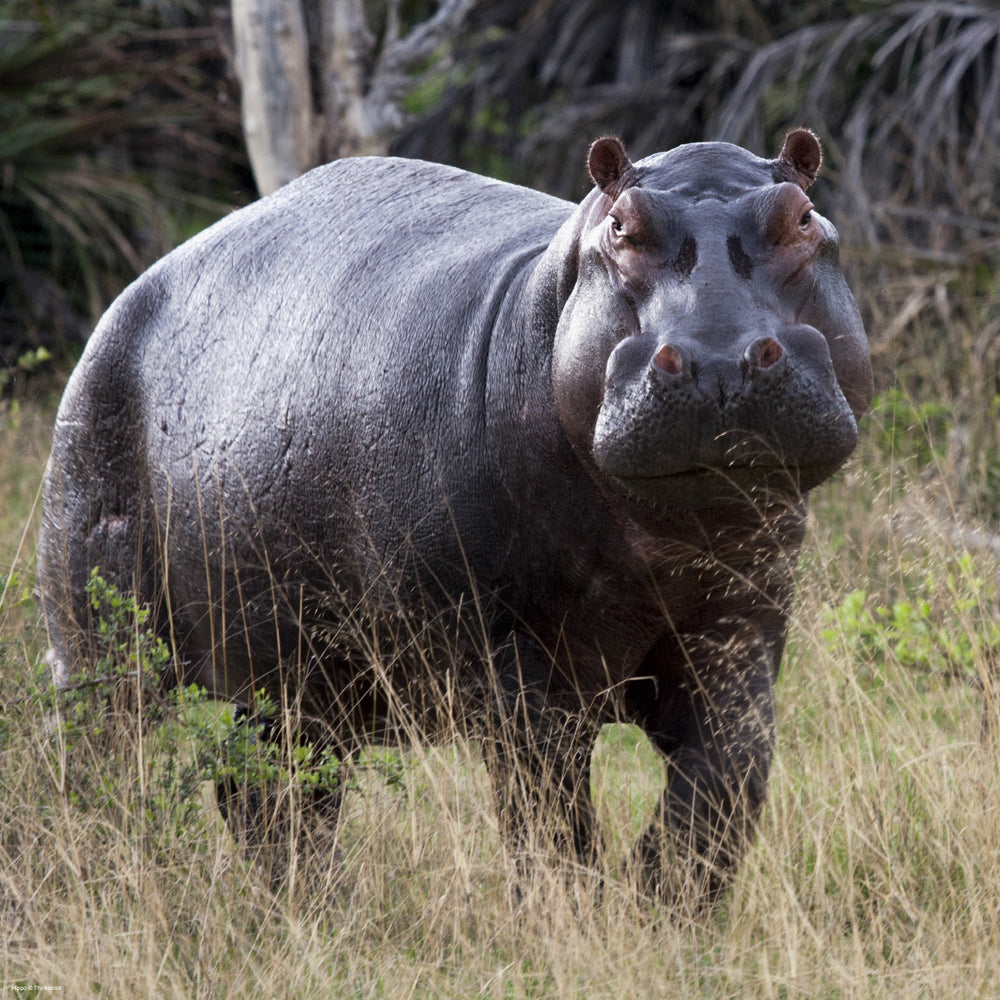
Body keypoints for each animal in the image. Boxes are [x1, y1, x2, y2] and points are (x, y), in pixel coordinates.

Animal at [38, 129, 872, 903]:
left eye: (802, 216)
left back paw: (323, 910)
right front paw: (575, 919)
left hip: (296, 679)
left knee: (270, 792)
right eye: (622, 226)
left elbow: (722, 787)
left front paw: (658, 911)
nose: (718, 360)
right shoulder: (512, 661)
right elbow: (547, 812)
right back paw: (96, 874)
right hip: (98, 637)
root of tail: (136, 289)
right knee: (101, 764)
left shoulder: (737, 627)